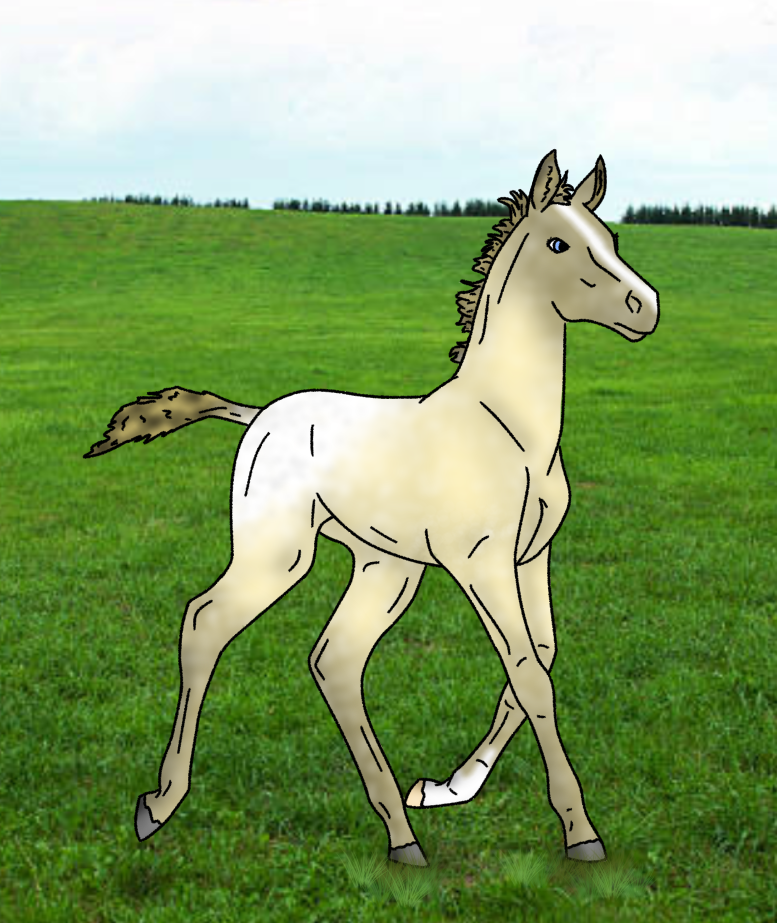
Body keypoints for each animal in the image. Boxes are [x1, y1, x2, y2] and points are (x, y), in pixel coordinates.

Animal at [85, 150, 659, 868]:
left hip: (386, 566)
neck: (507, 427)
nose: (646, 307)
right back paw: (158, 805)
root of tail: (258, 414)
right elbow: (529, 673)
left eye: (610, 238)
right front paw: (580, 832)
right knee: (205, 621)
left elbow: (541, 656)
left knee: (334, 659)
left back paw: (400, 833)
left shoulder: (531, 557)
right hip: (280, 553)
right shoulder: (481, 561)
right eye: (559, 243)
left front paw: (446, 788)